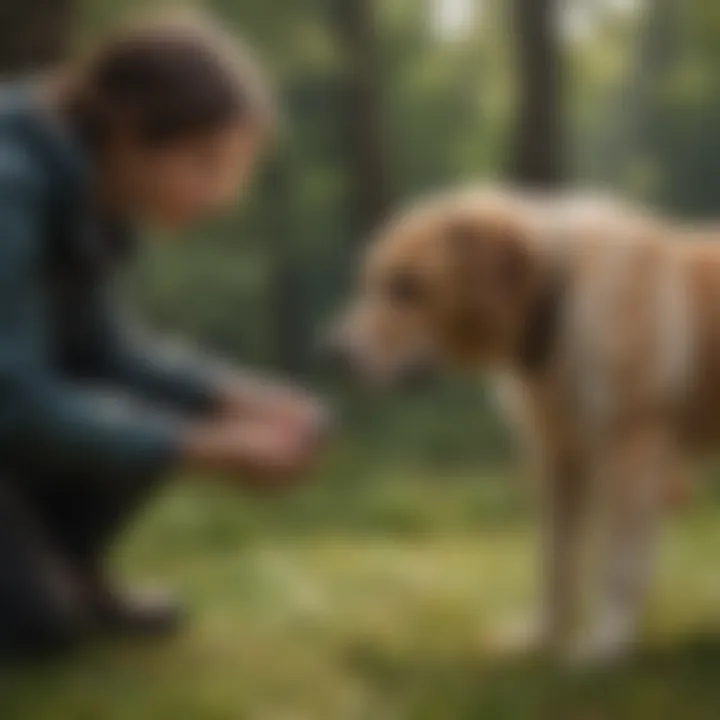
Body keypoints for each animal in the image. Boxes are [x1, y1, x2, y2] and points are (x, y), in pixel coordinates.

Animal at [328, 186, 720, 664]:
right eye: (373, 281)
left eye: (408, 286)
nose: (332, 354)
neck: (557, 304)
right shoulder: (560, 458)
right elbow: (554, 559)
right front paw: (543, 638)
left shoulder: (632, 451)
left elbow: (618, 566)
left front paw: (606, 646)